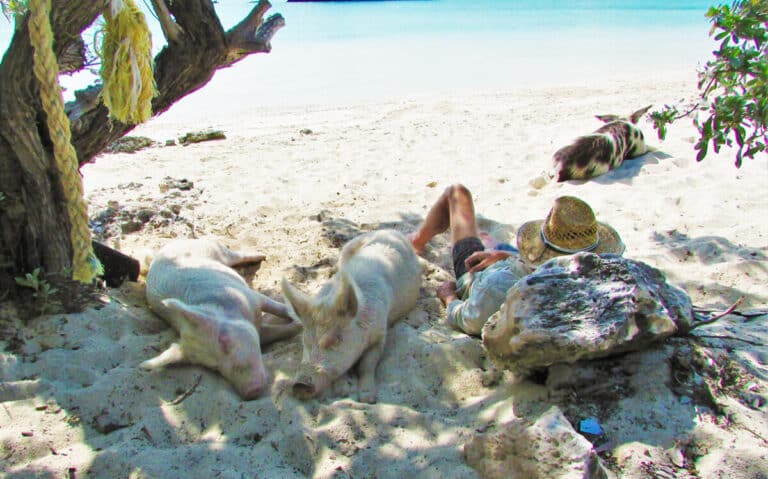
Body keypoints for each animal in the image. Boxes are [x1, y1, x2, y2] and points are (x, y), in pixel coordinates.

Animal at [140, 238, 301, 400]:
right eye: (213, 367)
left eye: (224, 340)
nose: (250, 392)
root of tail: (160, 252)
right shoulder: (258, 331)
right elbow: (276, 333)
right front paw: (297, 326)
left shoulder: (250, 296)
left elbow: (277, 307)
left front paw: (297, 318)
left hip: (214, 249)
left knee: (236, 255)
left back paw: (261, 255)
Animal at [281, 229, 421, 403]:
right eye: (305, 341)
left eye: (335, 340)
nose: (300, 385)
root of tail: (391, 230)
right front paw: (343, 391)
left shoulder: (381, 333)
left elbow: (367, 364)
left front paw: (367, 398)